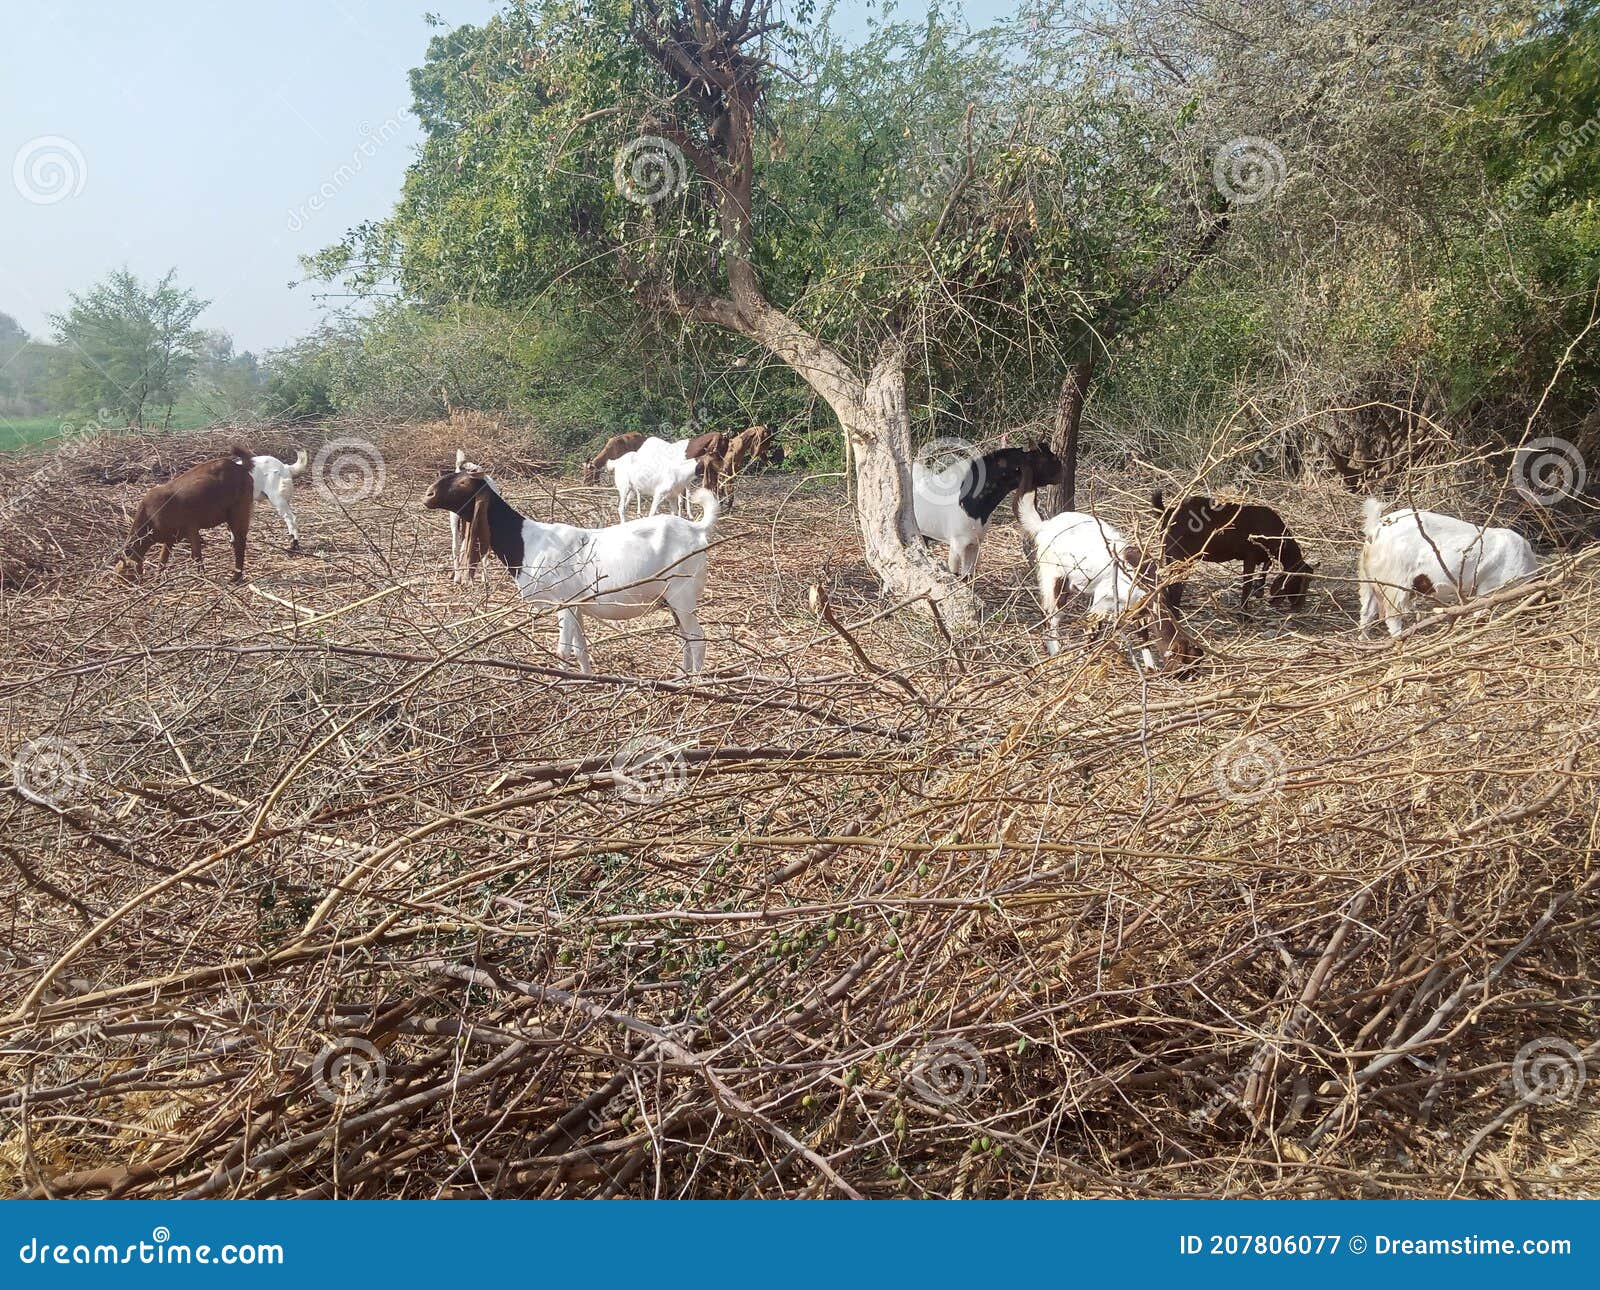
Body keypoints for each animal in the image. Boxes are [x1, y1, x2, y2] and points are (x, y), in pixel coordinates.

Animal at [115, 448, 255, 584]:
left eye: (124, 575)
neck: (149, 515)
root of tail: (241, 468)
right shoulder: (170, 538)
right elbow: (162, 560)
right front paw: (157, 580)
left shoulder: (191, 528)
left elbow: (196, 555)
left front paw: (201, 578)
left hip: (239, 511)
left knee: (239, 542)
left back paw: (236, 576)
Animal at [423, 467, 720, 674]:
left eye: (463, 482)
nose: (429, 495)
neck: (526, 540)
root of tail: (697, 529)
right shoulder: (577, 605)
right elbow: (580, 649)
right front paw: (586, 679)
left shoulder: (563, 601)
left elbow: (564, 650)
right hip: (671, 600)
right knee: (685, 639)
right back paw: (680, 677)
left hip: (683, 595)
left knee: (698, 639)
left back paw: (694, 682)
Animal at [1016, 470, 1200, 674]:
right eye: (1185, 671)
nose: (1190, 677)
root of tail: (1045, 525)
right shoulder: (1102, 602)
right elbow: (1092, 633)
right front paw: (1083, 663)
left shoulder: (1137, 608)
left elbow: (1143, 635)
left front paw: (1149, 667)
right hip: (1054, 576)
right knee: (1050, 617)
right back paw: (1055, 654)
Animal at [1151, 492, 1314, 612]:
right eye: (1300, 579)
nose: (1298, 606)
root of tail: (1168, 512)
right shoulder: (1250, 556)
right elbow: (1247, 583)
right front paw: (1244, 614)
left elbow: (1265, 567)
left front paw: (1259, 590)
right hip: (1181, 557)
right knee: (1175, 584)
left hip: (1170, 555)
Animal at [1357, 497, 1539, 637]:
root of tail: (1375, 529)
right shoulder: (1489, 588)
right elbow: (1480, 616)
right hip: (1395, 582)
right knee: (1392, 617)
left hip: (1369, 581)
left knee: (1366, 614)